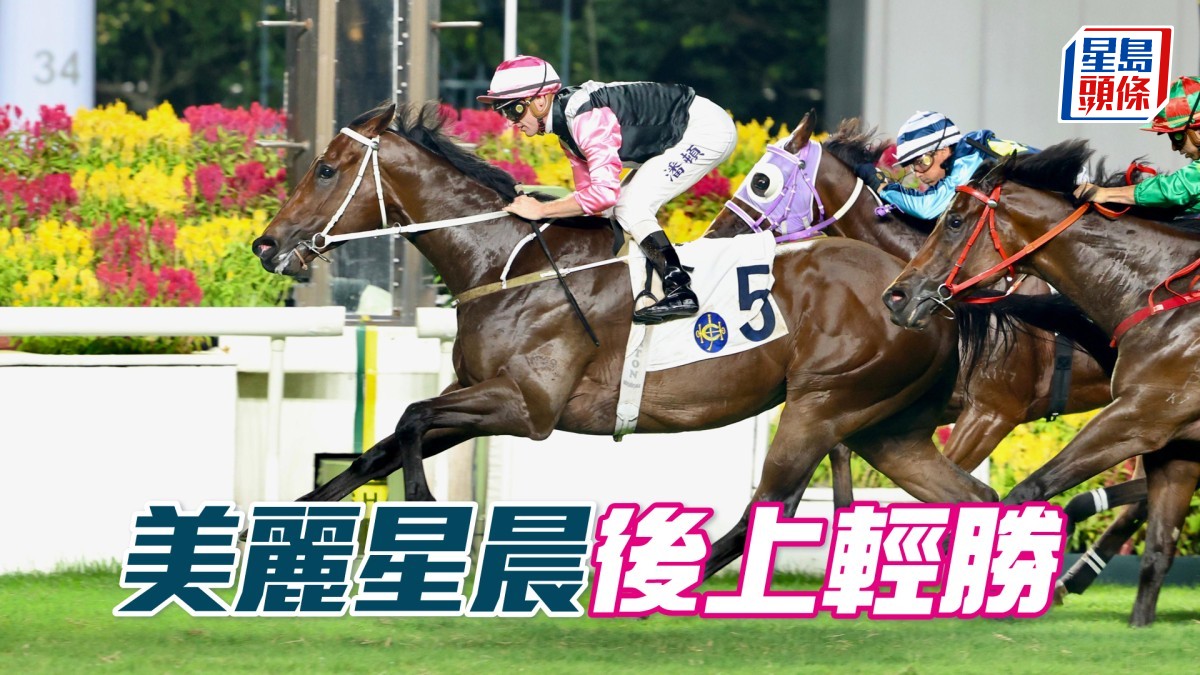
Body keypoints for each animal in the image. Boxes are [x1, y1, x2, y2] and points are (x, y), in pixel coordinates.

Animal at [251, 101, 997, 581]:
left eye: (326, 169)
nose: (266, 244)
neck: (506, 262)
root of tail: (922, 296)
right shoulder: (477, 391)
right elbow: (379, 446)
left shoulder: (528, 405)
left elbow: (408, 417)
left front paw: (426, 512)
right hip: (884, 426)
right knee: (972, 498)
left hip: (822, 404)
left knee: (770, 506)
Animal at [882, 139, 1200, 625]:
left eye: (954, 221)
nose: (896, 297)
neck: (1161, 293)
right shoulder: (1174, 441)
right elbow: (1158, 549)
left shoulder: (1136, 415)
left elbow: (1017, 491)